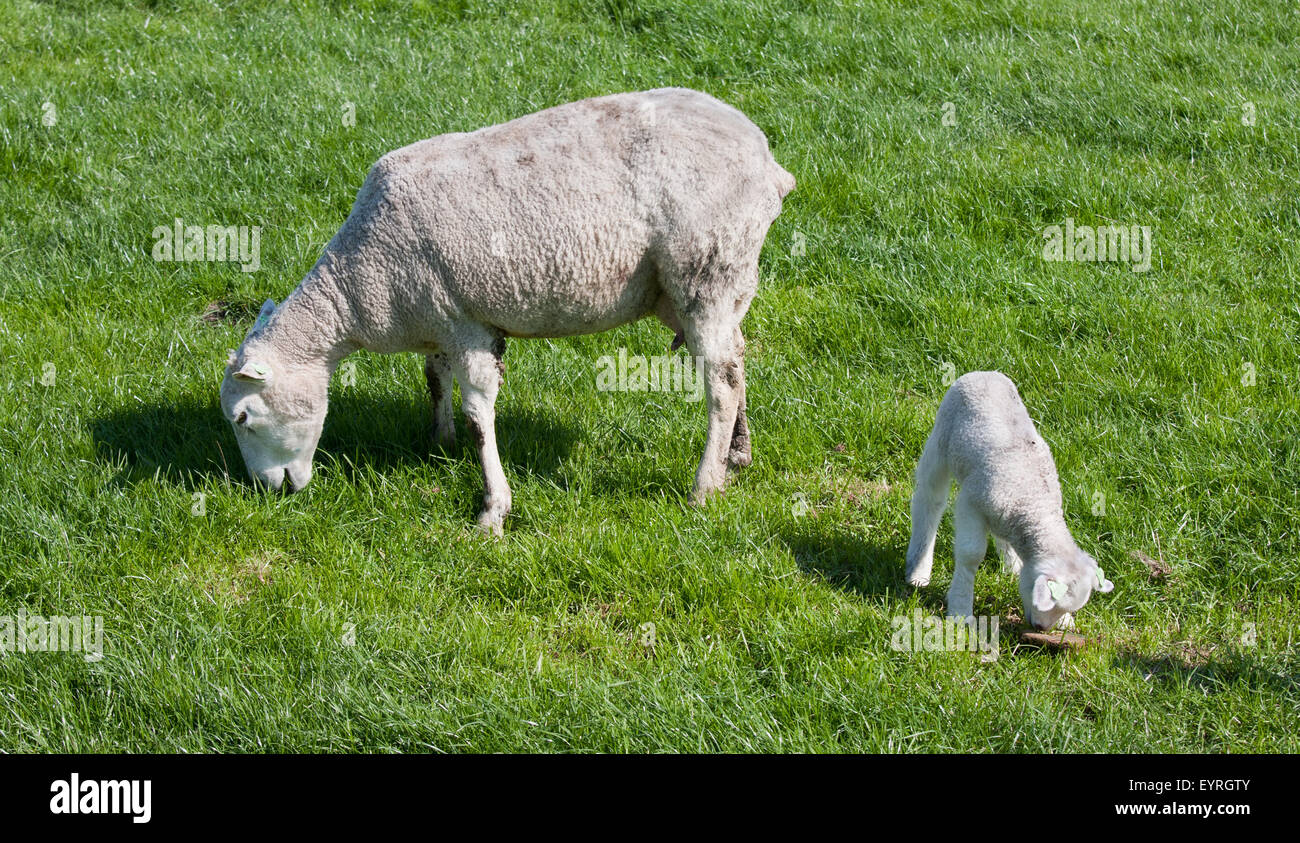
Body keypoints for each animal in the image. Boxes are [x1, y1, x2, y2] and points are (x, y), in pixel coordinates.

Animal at [219, 87, 796, 534]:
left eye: (244, 418)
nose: (269, 492)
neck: (357, 285)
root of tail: (766, 160)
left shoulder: (468, 325)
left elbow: (480, 415)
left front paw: (492, 508)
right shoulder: (441, 321)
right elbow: (435, 380)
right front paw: (439, 442)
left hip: (707, 270)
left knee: (720, 384)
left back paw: (705, 486)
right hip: (702, 287)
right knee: (736, 359)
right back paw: (737, 457)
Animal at [904, 371, 1114, 630]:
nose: (1040, 628)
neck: (1035, 504)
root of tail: (984, 373)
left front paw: (1065, 622)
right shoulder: (970, 503)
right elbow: (970, 554)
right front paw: (961, 609)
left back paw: (1011, 566)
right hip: (941, 437)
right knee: (930, 498)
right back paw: (919, 569)